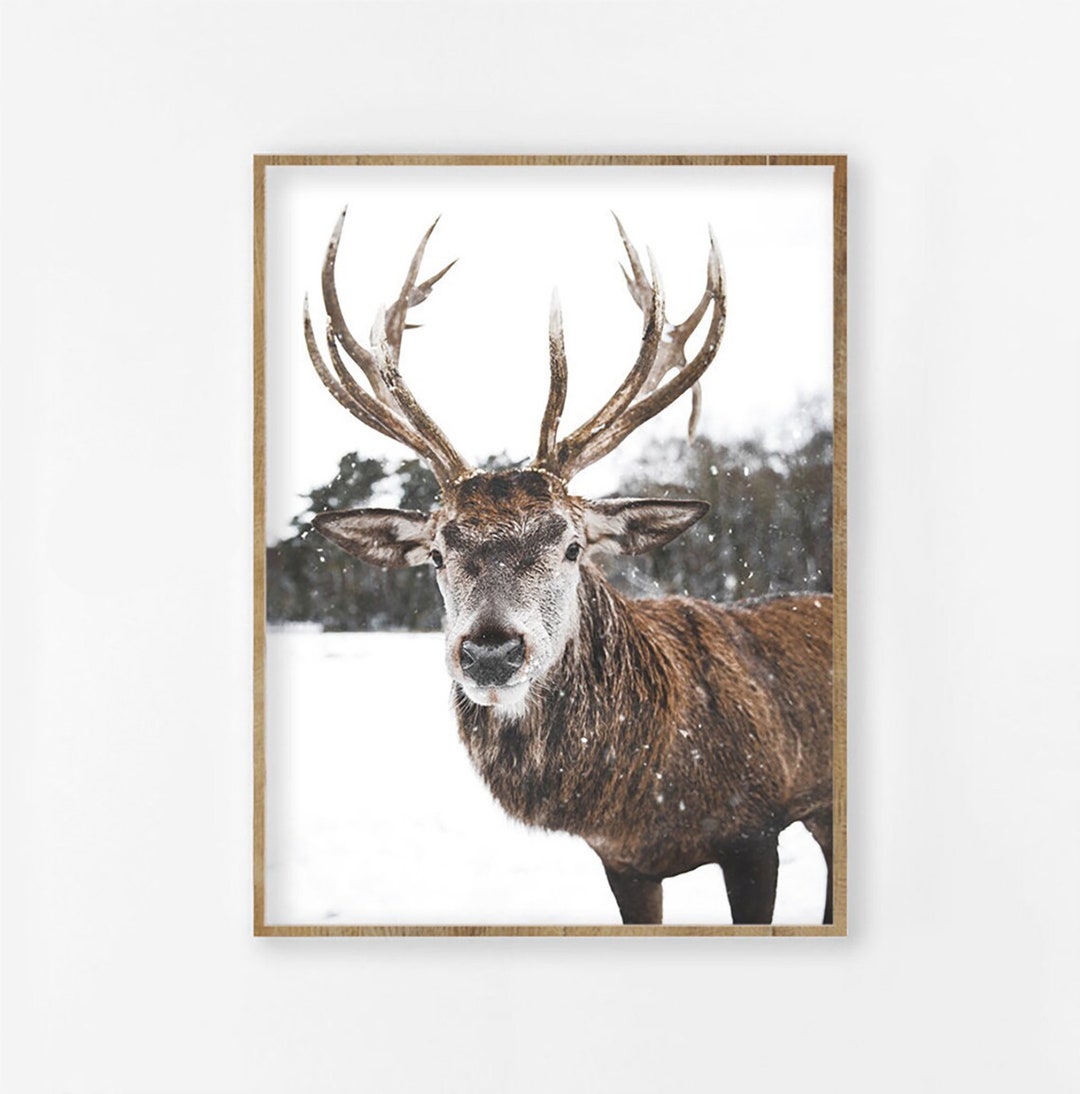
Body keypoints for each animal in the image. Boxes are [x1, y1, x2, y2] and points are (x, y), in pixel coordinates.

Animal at [300, 209, 834, 925]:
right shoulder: (623, 864)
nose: (490, 652)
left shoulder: (756, 828)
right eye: (437, 553)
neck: (646, 793)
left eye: (573, 546)